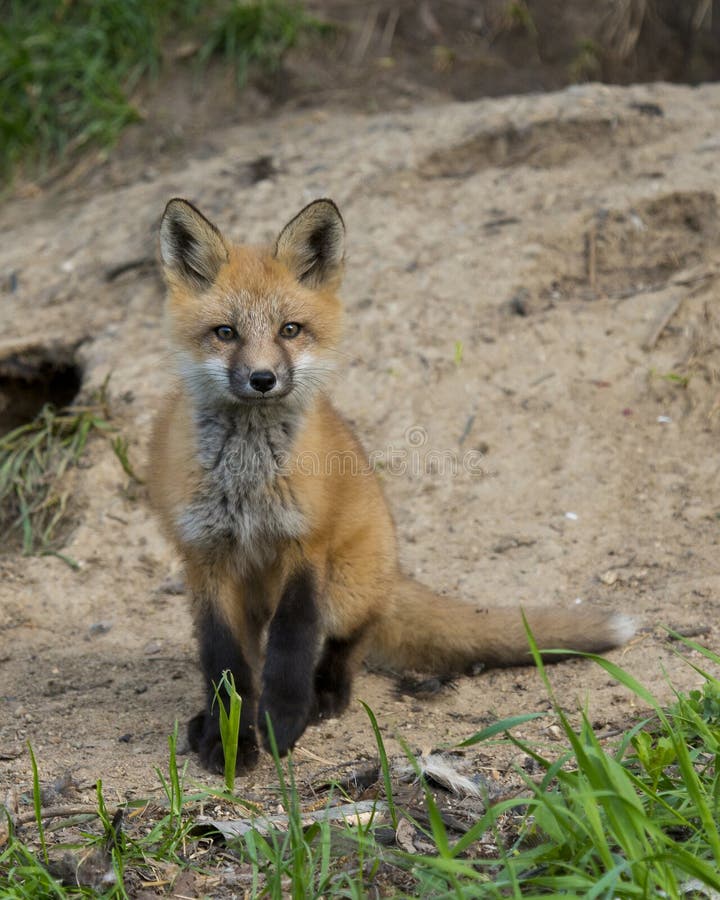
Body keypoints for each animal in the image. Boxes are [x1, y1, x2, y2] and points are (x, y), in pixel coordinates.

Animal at [148, 197, 634, 773]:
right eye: (226, 333)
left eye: (290, 329)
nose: (263, 379)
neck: (248, 479)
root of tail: (394, 566)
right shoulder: (206, 559)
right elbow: (224, 666)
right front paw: (230, 737)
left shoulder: (306, 546)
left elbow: (292, 643)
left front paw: (283, 720)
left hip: (345, 586)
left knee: (352, 637)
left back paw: (328, 692)